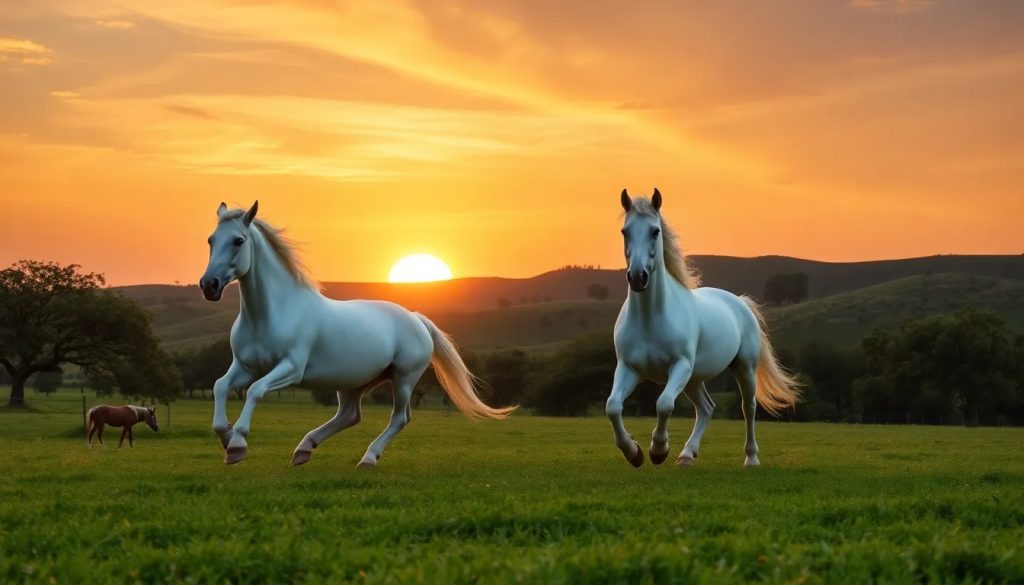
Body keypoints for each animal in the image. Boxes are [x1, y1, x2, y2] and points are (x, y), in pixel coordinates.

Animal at [199, 201, 515, 466]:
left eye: (238, 241)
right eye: (211, 239)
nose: (209, 285)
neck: (272, 313)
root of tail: (416, 319)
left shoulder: (291, 368)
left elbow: (255, 391)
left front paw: (237, 444)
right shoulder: (245, 366)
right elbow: (220, 386)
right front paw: (226, 438)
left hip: (403, 378)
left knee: (399, 418)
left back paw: (368, 458)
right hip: (354, 381)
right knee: (349, 415)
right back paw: (303, 450)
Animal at [606, 188, 800, 468]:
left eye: (655, 231)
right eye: (625, 231)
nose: (637, 277)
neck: (650, 318)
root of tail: (740, 302)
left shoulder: (680, 365)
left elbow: (664, 404)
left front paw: (658, 450)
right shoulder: (629, 368)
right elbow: (612, 406)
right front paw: (634, 452)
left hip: (742, 368)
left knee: (748, 408)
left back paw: (751, 458)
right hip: (694, 379)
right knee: (706, 408)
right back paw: (687, 454)